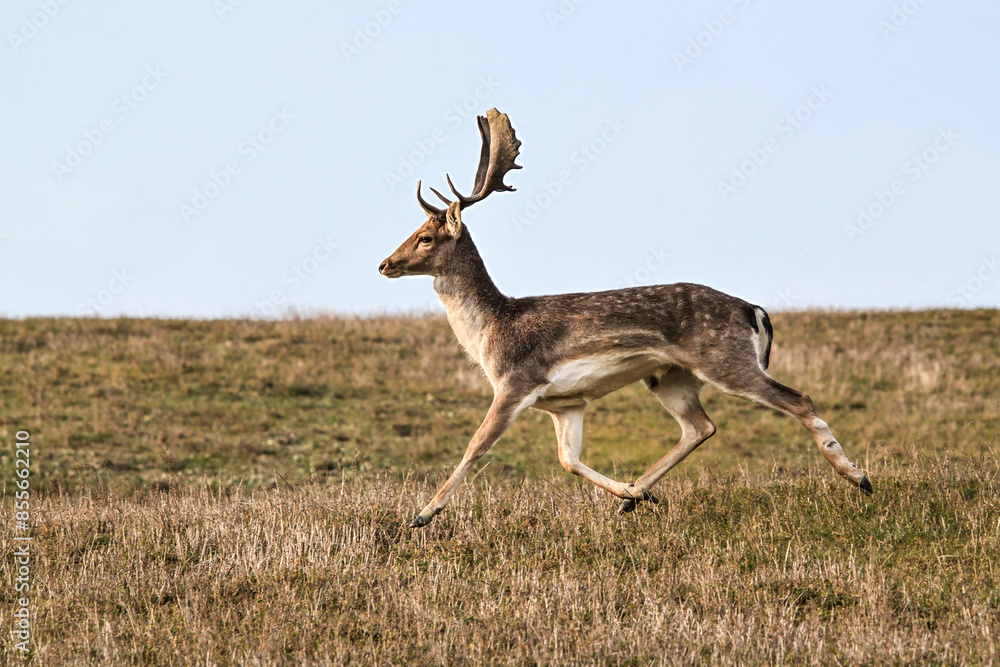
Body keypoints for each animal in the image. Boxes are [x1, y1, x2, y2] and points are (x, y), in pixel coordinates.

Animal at [379, 108, 872, 528]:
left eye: (425, 237)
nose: (385, 263)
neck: (489, 332)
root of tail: (754, 310)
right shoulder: (566, 404)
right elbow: (568, 460)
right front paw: (631, 494)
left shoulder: (515, 382)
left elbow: (475, 447)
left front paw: (422, 514)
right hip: (669, 378)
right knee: (700, 426)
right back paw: (637, 495)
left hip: (725, 359)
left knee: (797, 399)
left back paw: (858, 477)